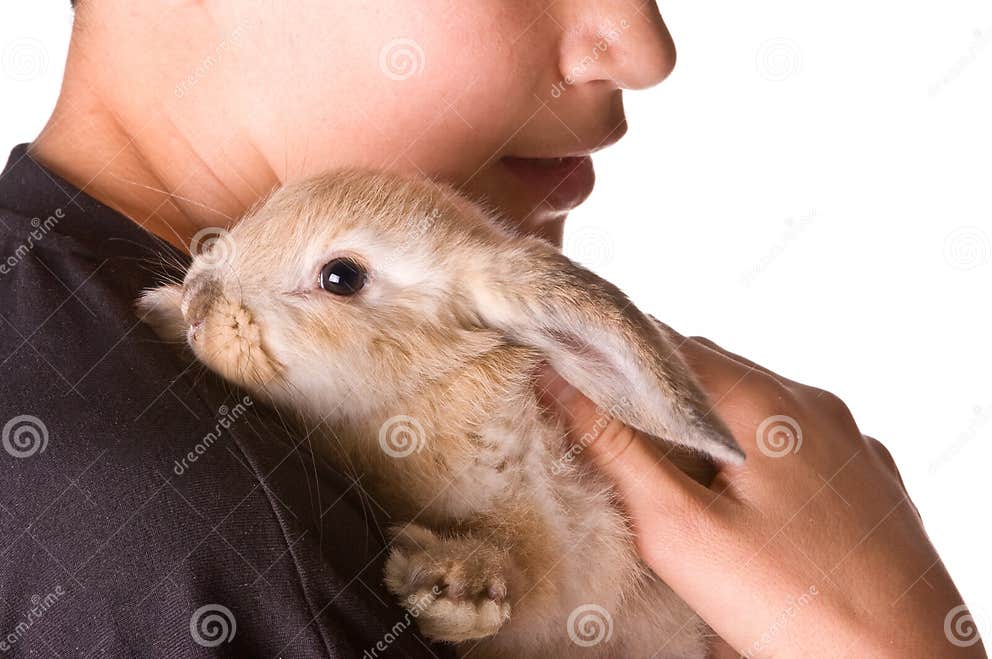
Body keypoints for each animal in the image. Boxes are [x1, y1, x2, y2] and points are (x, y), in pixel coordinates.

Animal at [137, 169, 745, 659]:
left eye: (341, 277)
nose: (195, 304)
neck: (426, 390)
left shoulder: (579, 558)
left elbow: (532, 590)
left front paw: (449, 586)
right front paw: (158, 310)